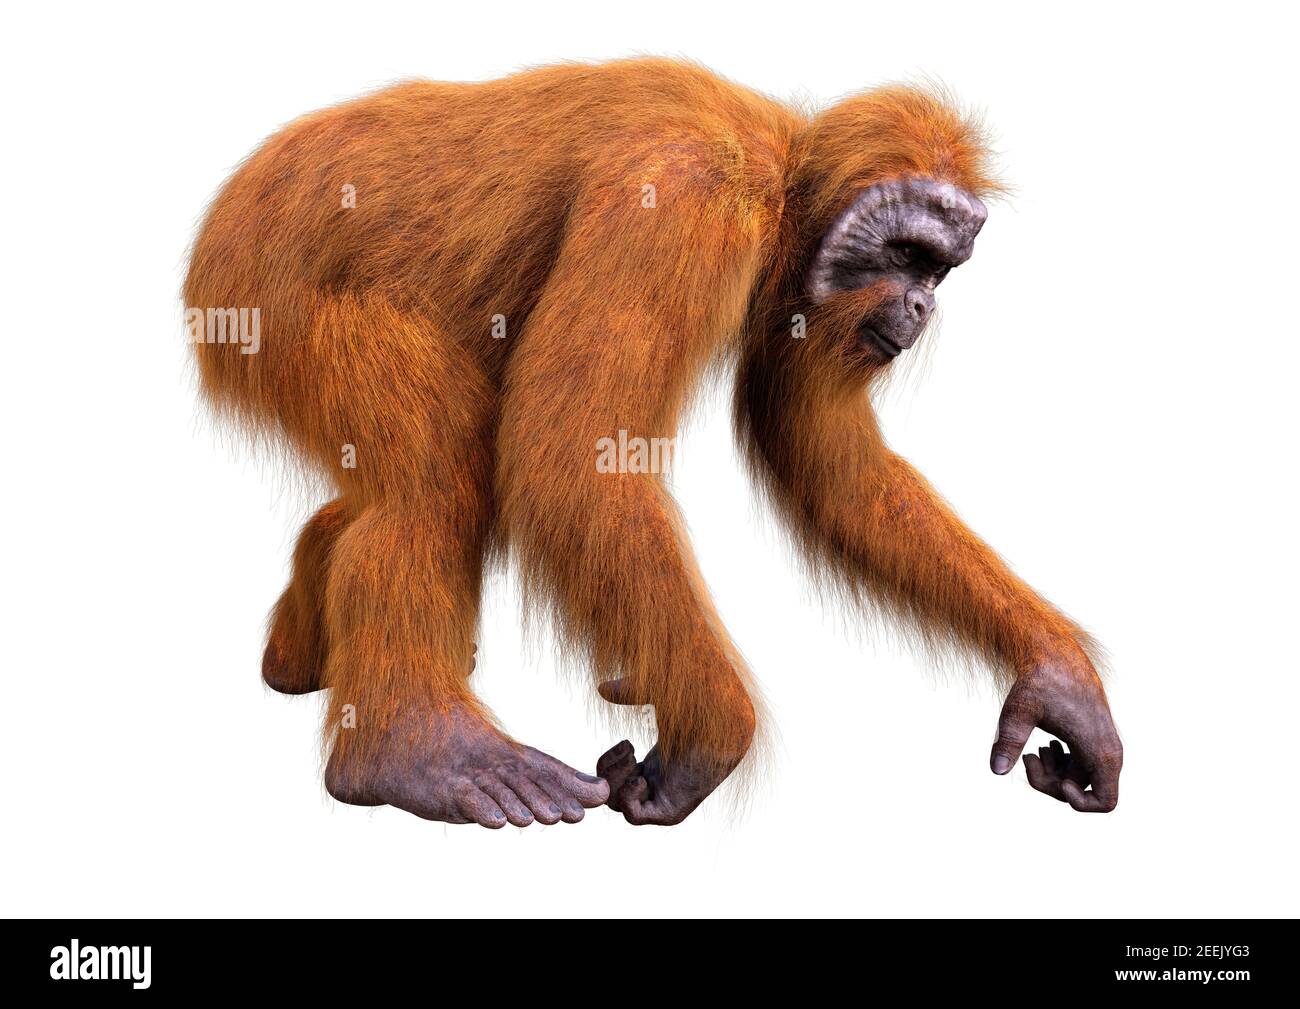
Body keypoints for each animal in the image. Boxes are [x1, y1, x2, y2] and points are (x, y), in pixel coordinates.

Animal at [185, 57, 1123, 827]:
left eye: (939, 270)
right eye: (908, 251)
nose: (923, 306)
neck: (781, 181)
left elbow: (828, 463)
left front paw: (1055, 675)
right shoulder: (682, 199)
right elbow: (571, 450)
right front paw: (714, 731)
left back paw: (313, 627)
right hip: (268, 296)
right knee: (435, 476)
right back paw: (409, 750)